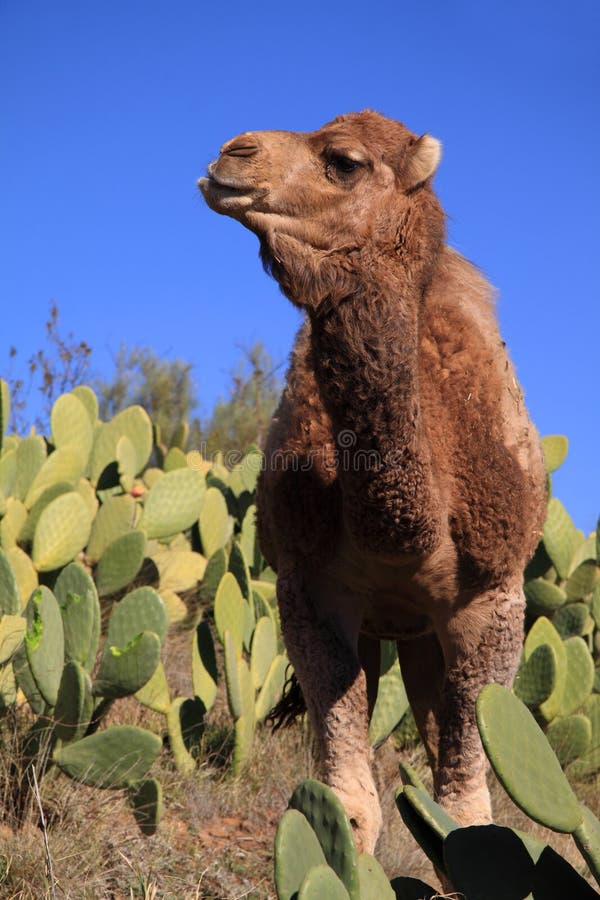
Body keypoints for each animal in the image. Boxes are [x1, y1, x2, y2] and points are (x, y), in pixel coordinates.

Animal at [199, 111, 547, 855]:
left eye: (344, 162)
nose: (231, 154)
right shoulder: (307, 584)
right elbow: (348, 805)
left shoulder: (495, 596)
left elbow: (466, 810)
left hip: (427, 638)